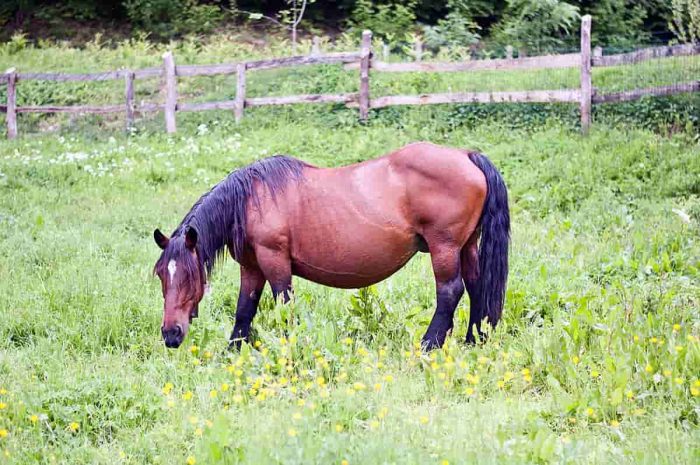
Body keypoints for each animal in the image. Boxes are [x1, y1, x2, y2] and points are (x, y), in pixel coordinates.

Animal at [153, 142, 509, 351]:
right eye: (161, 275)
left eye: (188, 276)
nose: (171, 335)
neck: (252, 200)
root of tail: (467, 156)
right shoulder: (252, 266)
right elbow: (244, 310)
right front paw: (233, 352)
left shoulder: (275, 261)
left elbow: (284, 305)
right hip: (466, 246)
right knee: (476, 286)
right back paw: (473, 340)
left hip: (444, 247)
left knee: (450, 290)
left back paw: (429, 344)